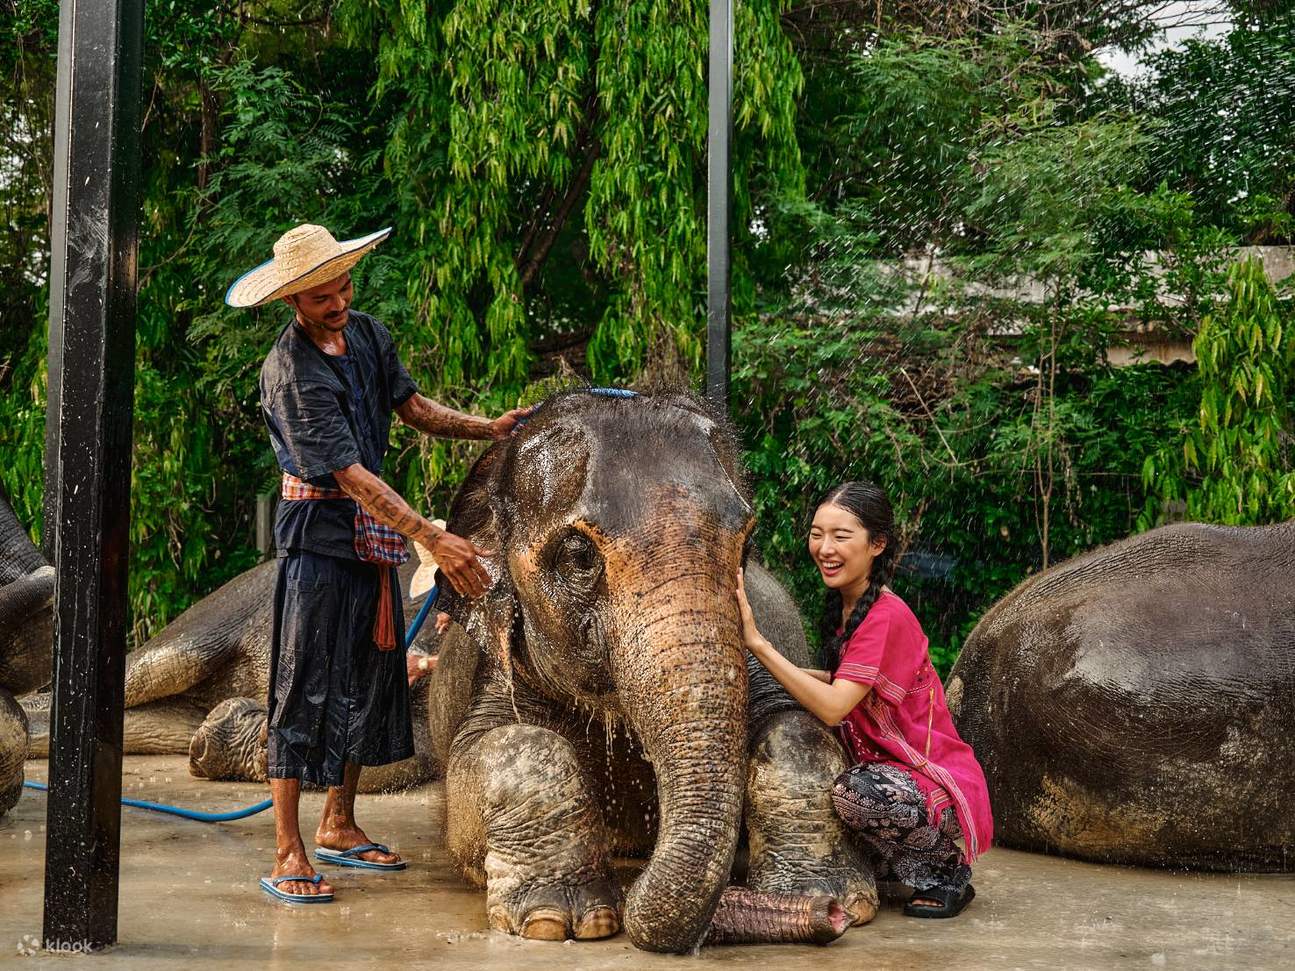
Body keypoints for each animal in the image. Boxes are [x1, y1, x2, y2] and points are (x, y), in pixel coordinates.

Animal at [423, 390, 876, 953]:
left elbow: (794, 726)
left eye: (746, 545)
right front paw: (560, 920)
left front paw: (836, 899)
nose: (827, 917)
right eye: (578, 555)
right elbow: (494, 753)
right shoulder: (498, 669)